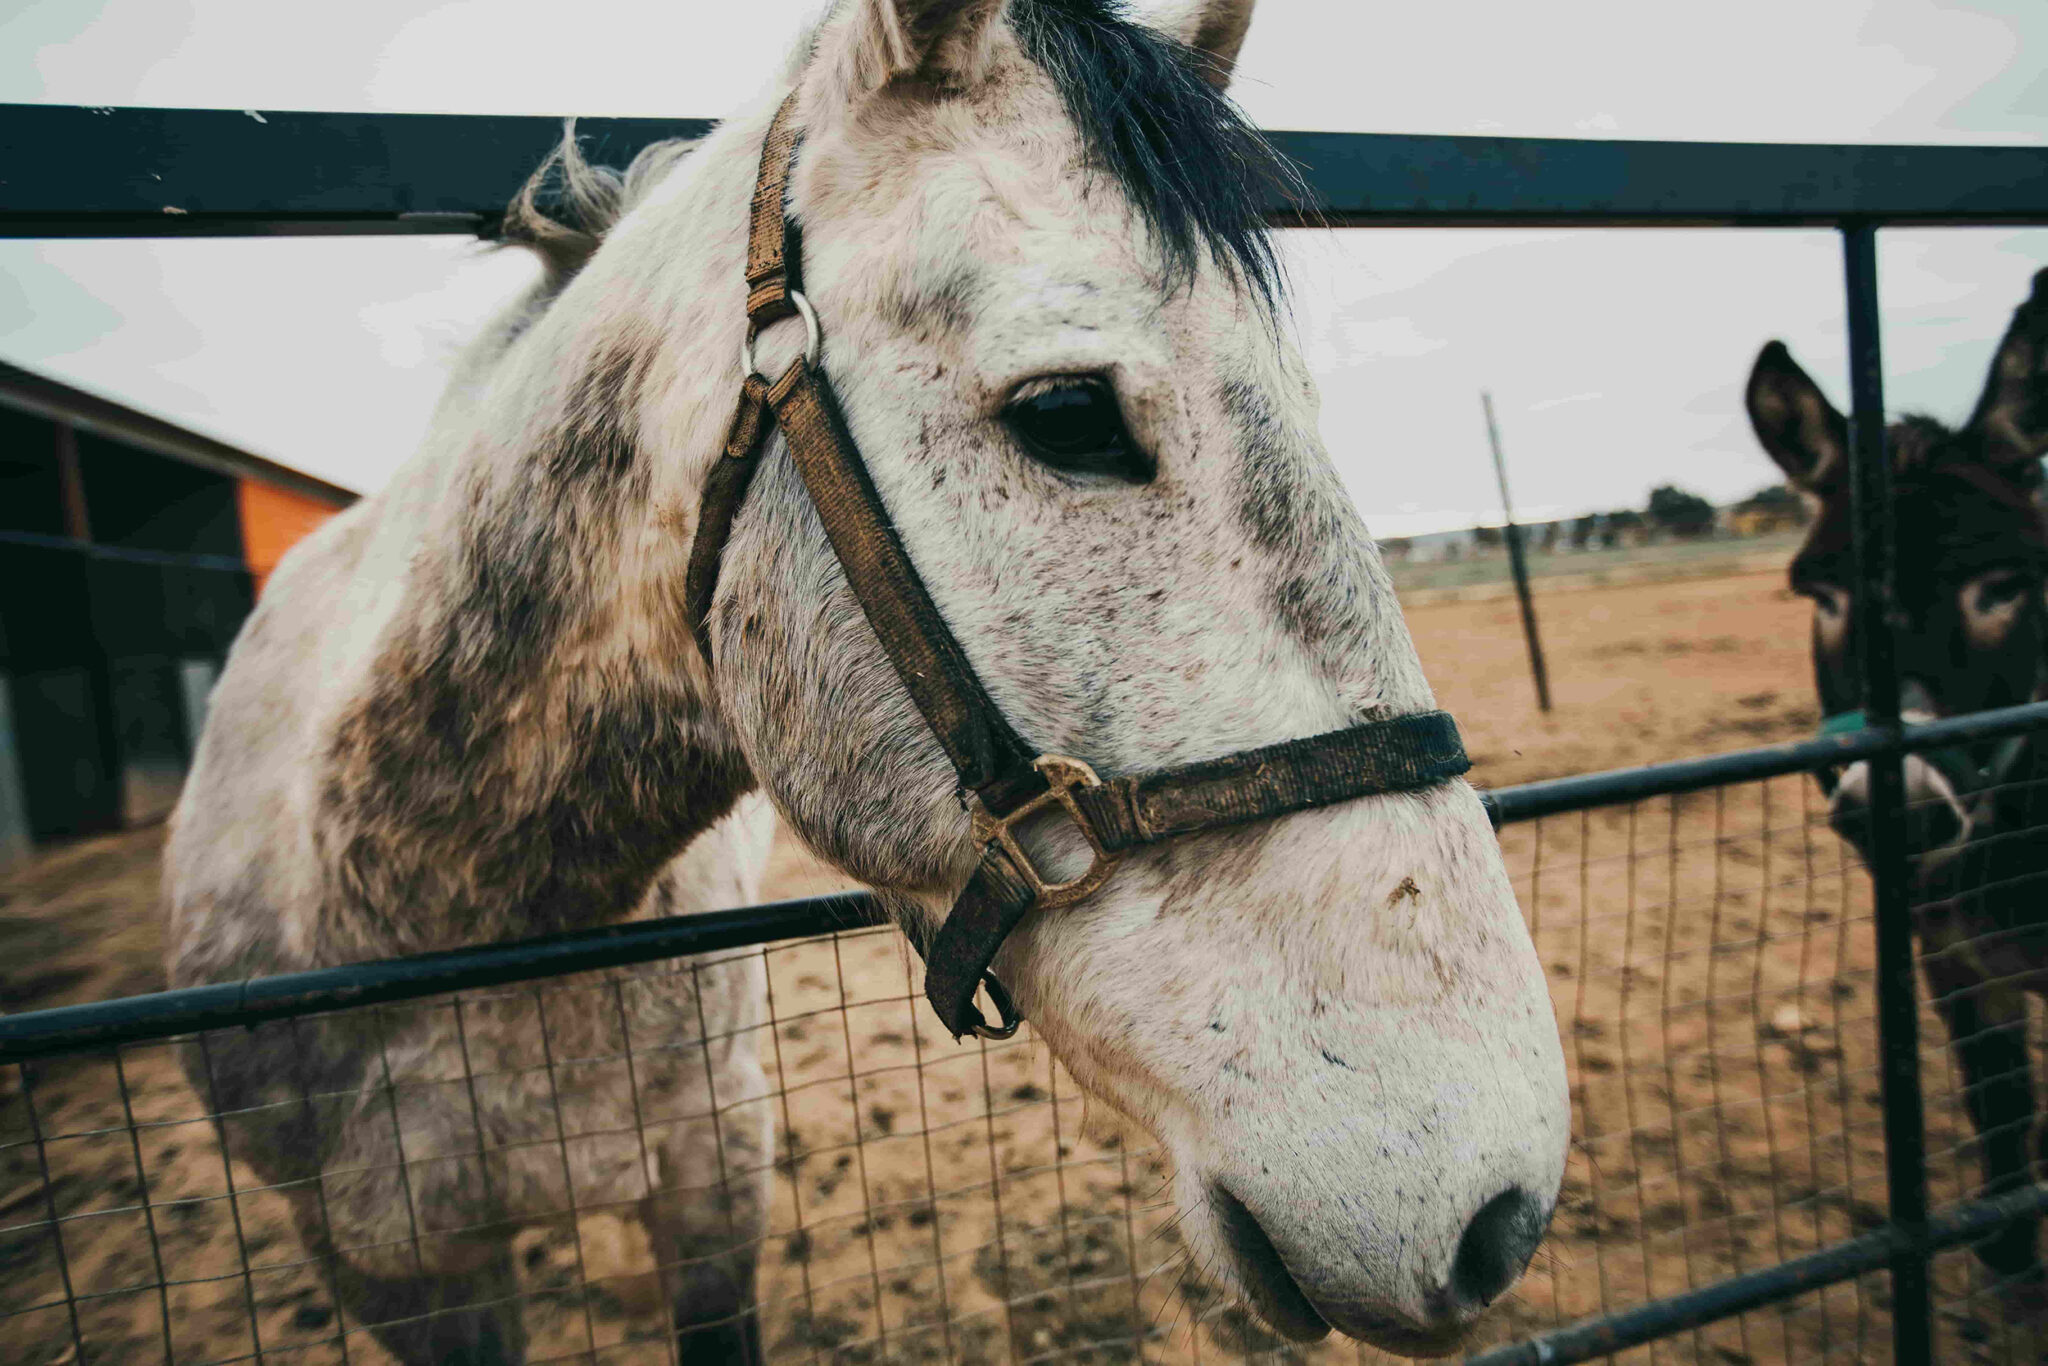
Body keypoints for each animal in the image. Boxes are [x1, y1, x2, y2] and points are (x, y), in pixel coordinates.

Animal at [1745, 268, 2048, 1302]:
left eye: (2005, 586)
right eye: (1824, 596)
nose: (1899, 812)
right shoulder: (1951, 958)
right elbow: (2000, 1101)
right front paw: (2009, 1257)